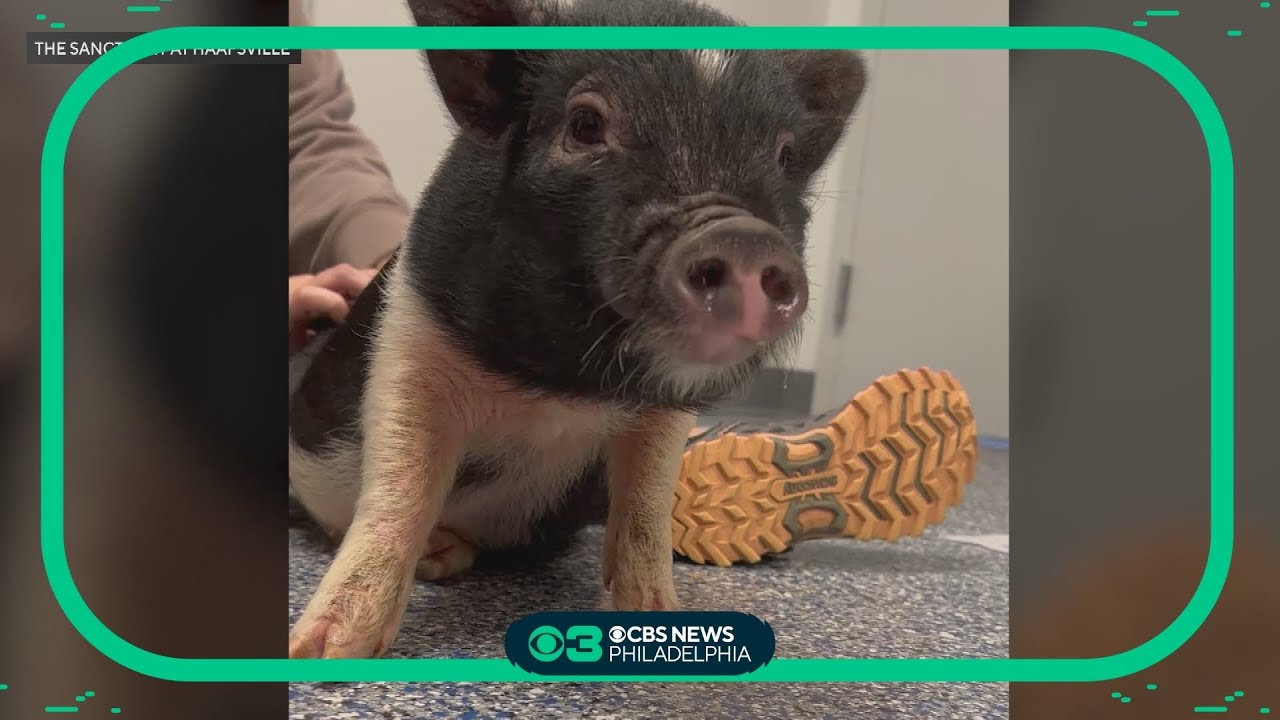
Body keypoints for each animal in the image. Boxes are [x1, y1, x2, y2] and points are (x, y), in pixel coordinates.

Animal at [287, 0, 867, 659]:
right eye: (586, 124)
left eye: (785, 155)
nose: (741, 235)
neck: (569, 391)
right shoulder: (411, 337)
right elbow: (400, 488)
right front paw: (321, 652)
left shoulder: (665, 409)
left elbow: (646, 505)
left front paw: (658, 613)